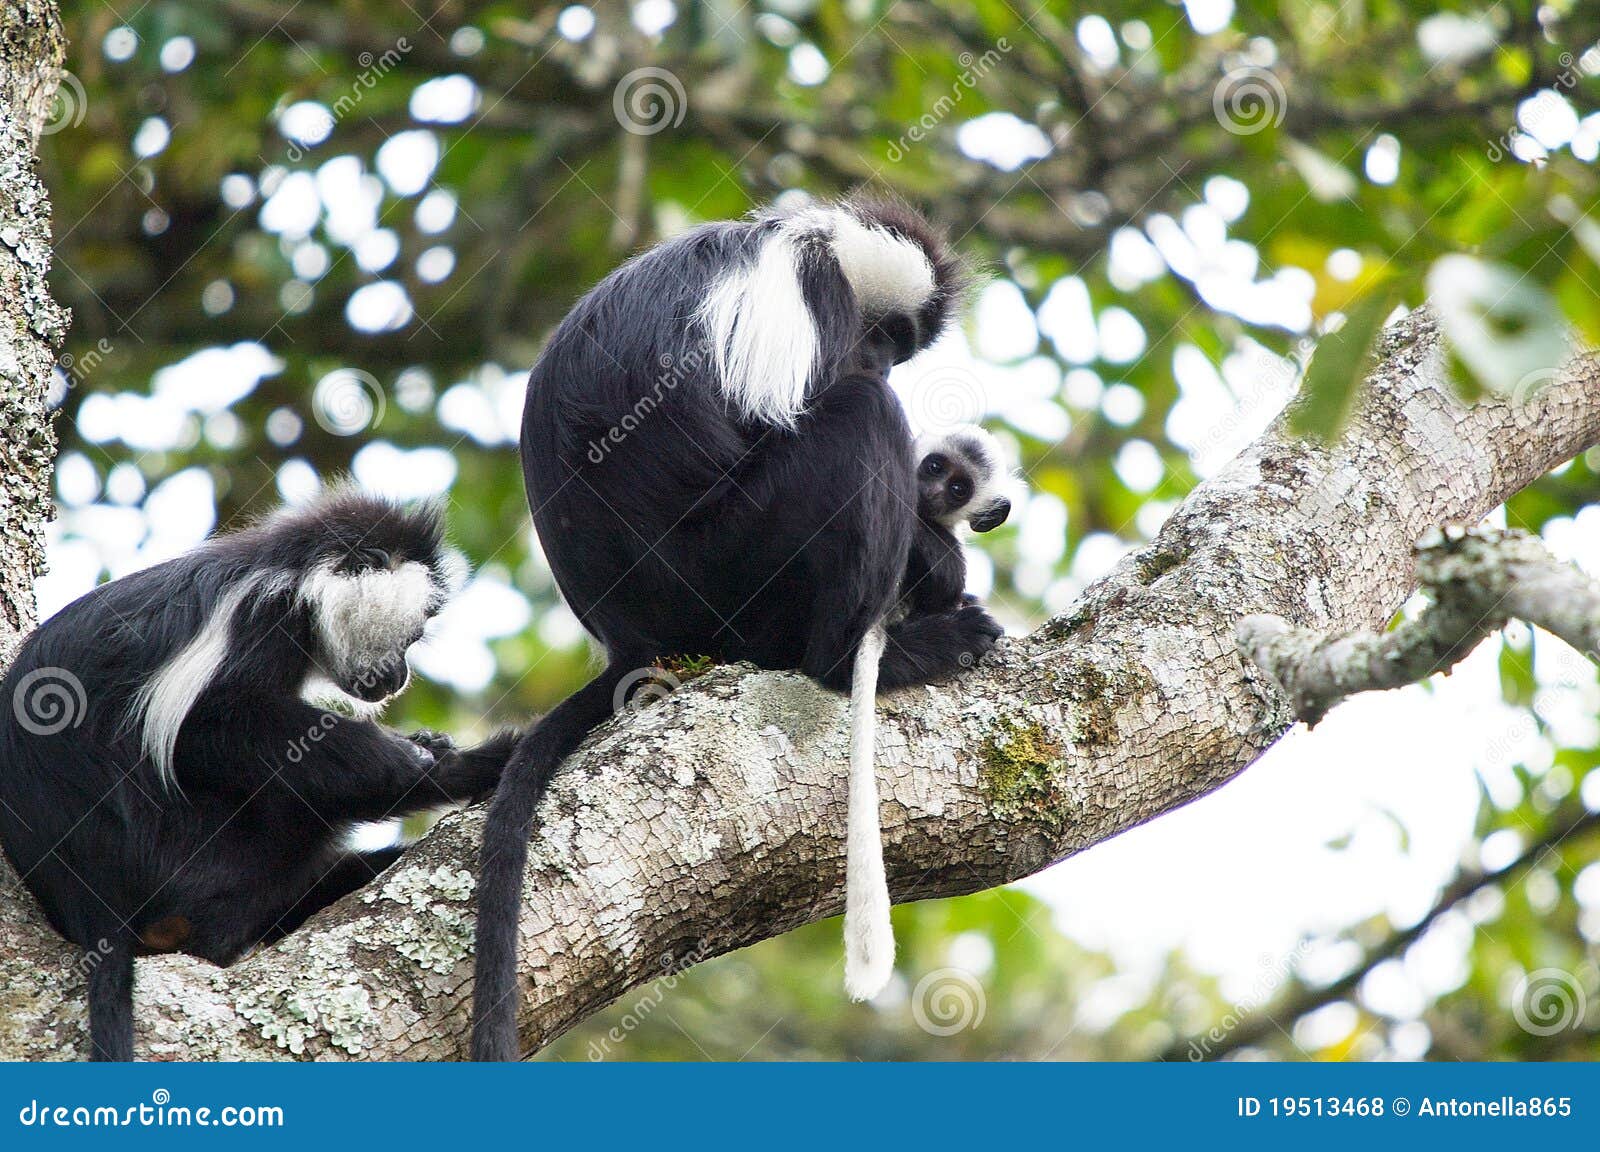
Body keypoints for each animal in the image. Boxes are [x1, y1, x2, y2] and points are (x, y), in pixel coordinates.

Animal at [0, 487, 517, 1061]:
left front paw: (430, 748)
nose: (401, 675)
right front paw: (422, 763)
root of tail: (87, 902)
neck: (295, 580)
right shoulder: (259, 621)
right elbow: (209, 726)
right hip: (193, 863)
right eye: (413, 635)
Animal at [472, 197, 1004, 1060]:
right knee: (856, 421)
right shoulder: (807, 295)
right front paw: (936, 559)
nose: (884, 366)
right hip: (731, 565)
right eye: (887, 339)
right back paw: (864, 654)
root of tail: (629, 637)